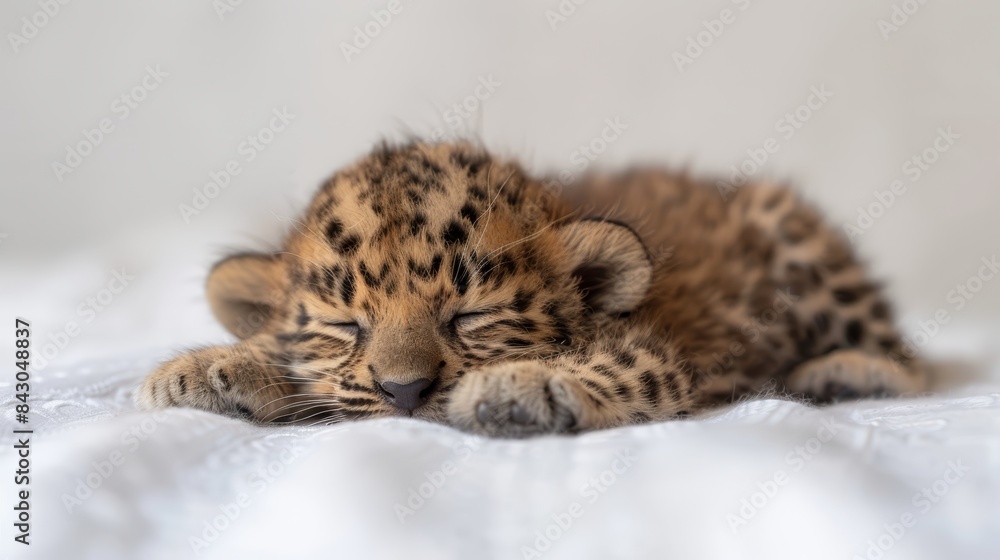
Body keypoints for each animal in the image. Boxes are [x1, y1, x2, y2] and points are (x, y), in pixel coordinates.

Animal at [135, 140, 926, 437]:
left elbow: (608, 368)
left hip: (794, 231)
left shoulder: (660, 353)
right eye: (345, 327)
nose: (405, 393)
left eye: (470, 317)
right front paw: (205, 370)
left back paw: (845, 373)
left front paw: (520, 386)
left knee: (912, 362)